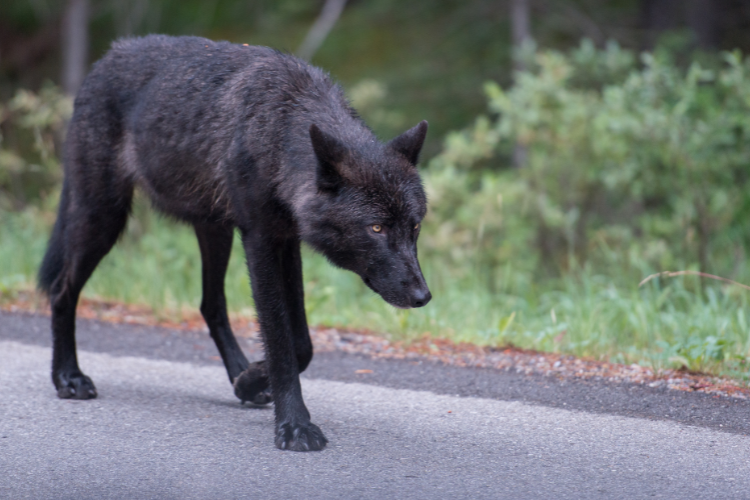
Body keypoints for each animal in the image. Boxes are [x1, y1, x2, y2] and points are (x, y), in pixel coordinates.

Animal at [38, 35, 431, 451]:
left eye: (415, 227)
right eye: (376, 229)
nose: (423, 296)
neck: (278, 128)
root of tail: (109, 55)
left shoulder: (286, 241)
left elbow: (301, 343)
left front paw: (251, 380)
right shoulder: (260, 241)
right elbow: (280, 341)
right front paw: (294, 426)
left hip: (215, 231)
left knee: (210, 305)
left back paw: (240, 376)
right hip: (102, 218)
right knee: (62, 290)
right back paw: (67, 377)